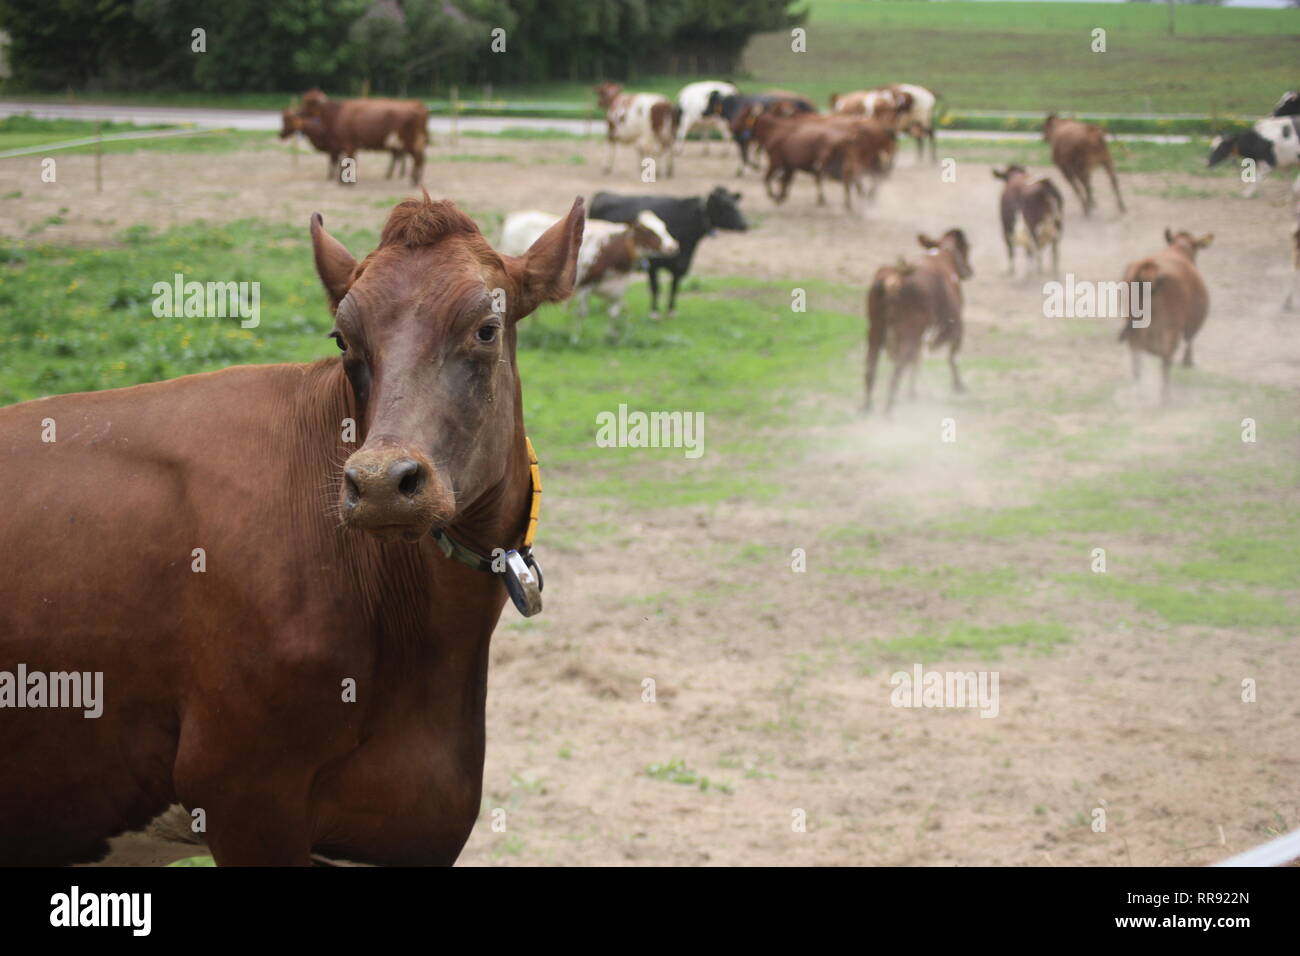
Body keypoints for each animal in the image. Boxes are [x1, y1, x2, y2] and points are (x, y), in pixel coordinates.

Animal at [281, 89, 428, 185]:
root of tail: (416, 107)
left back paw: (414, 180)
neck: (335, 115)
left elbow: (343, 162)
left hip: (409, 141)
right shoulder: (341, 147)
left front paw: (342, 181)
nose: (297, 113)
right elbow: (341, 162)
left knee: (418, 157)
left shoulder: (347, 145)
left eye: (308, 103)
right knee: (417, 157)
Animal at [500, 209, 678, 339]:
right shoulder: (586, 285)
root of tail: (516, 216)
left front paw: (612, 336)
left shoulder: (618, 288)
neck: (610, 247)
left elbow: (613, 313)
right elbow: (582, 313)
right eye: (647, 230)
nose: (673, 246)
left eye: (663, 226)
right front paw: (578, 334)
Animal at [589, 187, 749, 319]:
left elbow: (674, 287)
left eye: (735, 203)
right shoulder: (653, 265)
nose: (745, 225)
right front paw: (654, 312)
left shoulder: (680, 266)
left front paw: (671, 311)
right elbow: (656, 288)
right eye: (726, 206)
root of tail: (602, 193)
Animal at [864, 229, 973, 413]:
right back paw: (888, 412)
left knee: (871, 366)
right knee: (898, 368)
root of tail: (897, 278)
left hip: (876, 330)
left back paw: (866, 407)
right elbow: (953, 358)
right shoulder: (956, 327)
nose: (969, 271)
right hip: (910, 334)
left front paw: (912, 393)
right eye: (967, 248)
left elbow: (917, 361)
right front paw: (958, 385)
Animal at [1117, 228, 1213, 402]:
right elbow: (1190, 341)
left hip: (1135, 328)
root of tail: (1148, 268)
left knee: (1137, 359)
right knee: (1165, 362)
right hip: (1170, 330)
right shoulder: (1193, 323)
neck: (1180, 248)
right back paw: (1165, 399)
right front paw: (1188, 362)